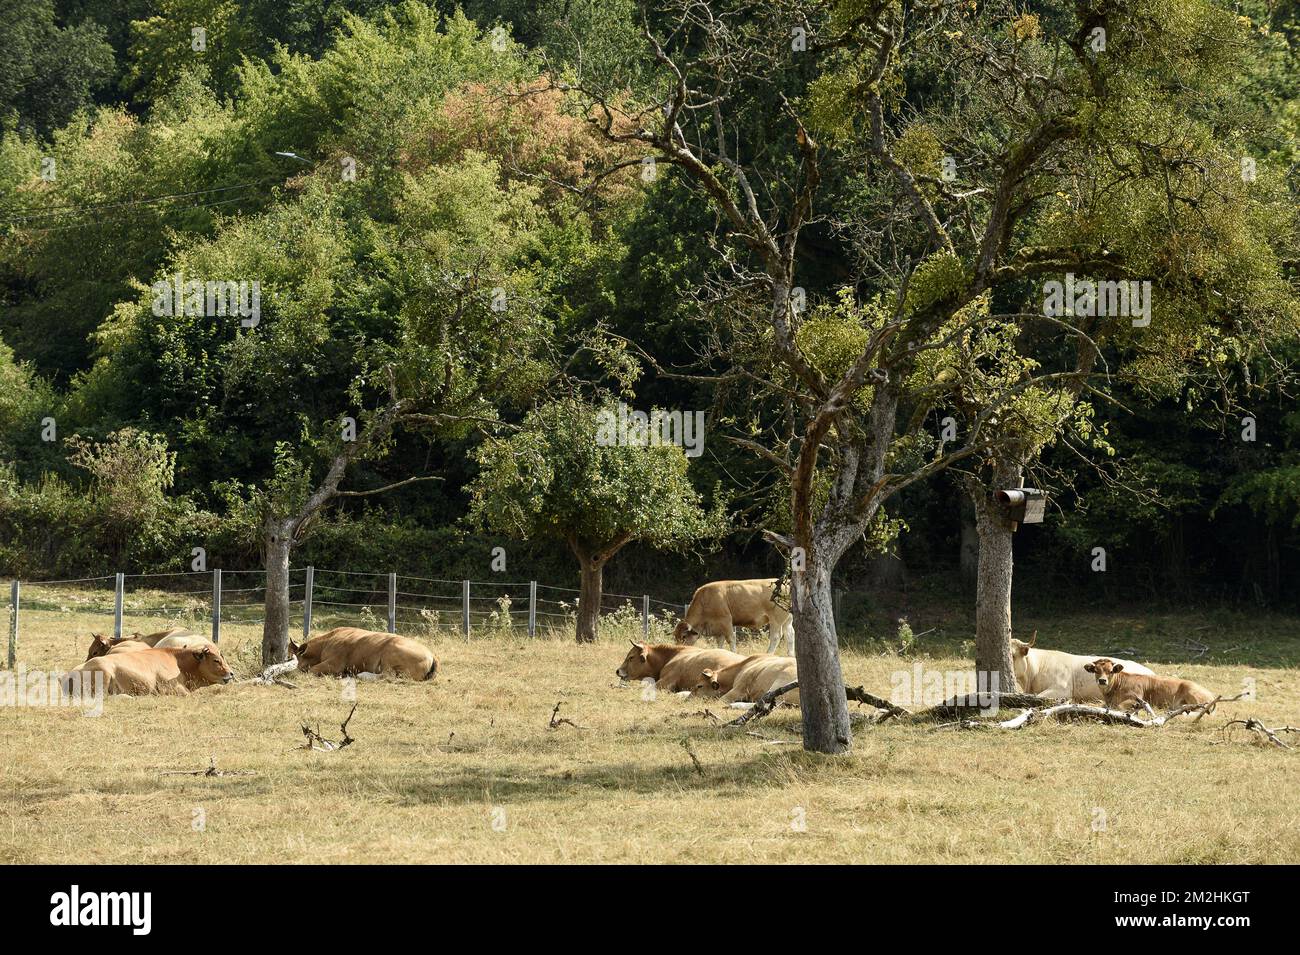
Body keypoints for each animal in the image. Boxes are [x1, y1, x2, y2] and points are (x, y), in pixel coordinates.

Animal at [288, 627, 439, 681]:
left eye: (298, 660)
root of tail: (431, 655)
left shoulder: (335, 664)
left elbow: (311, 670)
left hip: (390, 654)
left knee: (388, 676)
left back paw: (362, 675)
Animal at [1084, 658, 1218, 714]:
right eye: (1096, 670)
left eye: (1111, 671)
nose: (1102, 681)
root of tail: (1211, 694)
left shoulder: (1136, 698)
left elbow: (1120, 706)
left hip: (1193, 694)